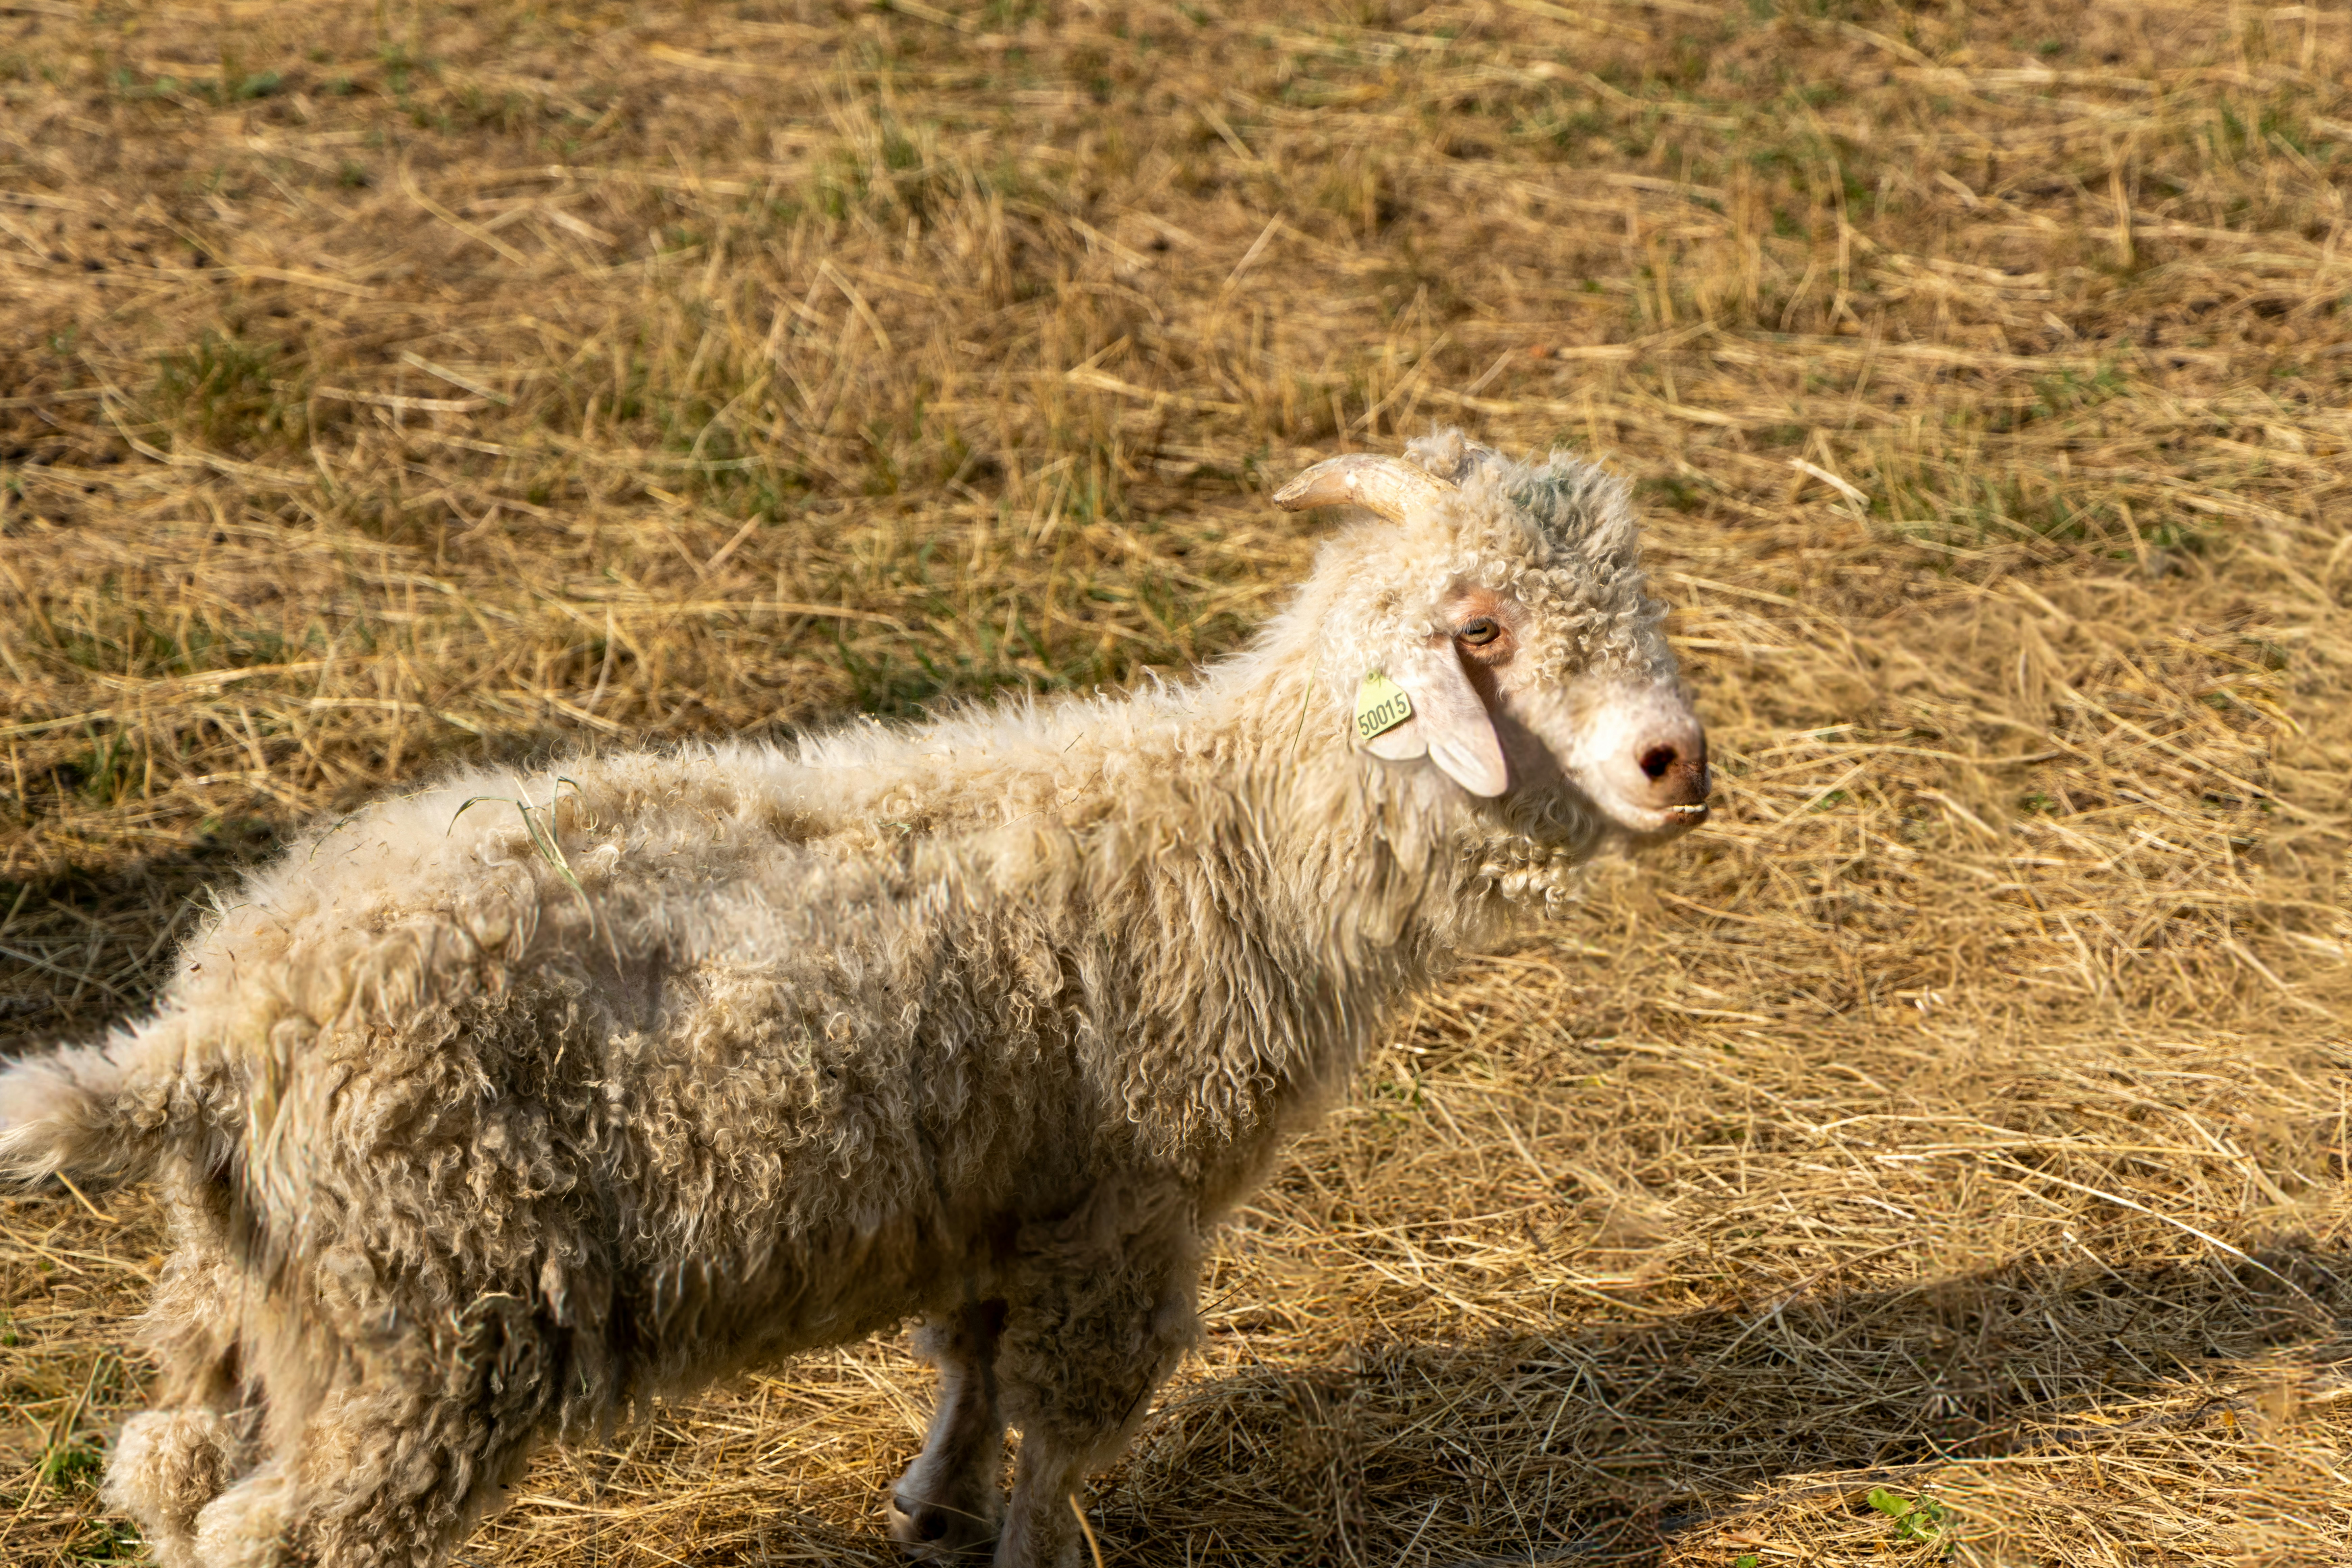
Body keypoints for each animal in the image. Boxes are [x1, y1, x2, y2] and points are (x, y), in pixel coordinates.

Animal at [0, 429, 1710, 1568]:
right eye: (1481, 629)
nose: (1676, 761)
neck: (1224, 837)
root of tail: (209, 1037)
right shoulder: (1127, 1211)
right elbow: (1062, 1417)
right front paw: (1028, 1547)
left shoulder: (1005, 1189)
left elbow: (969, 1365)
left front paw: (930, 1502)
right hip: (431, 1320)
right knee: (274, 1528)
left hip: (263, 1301)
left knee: (168, 1464)